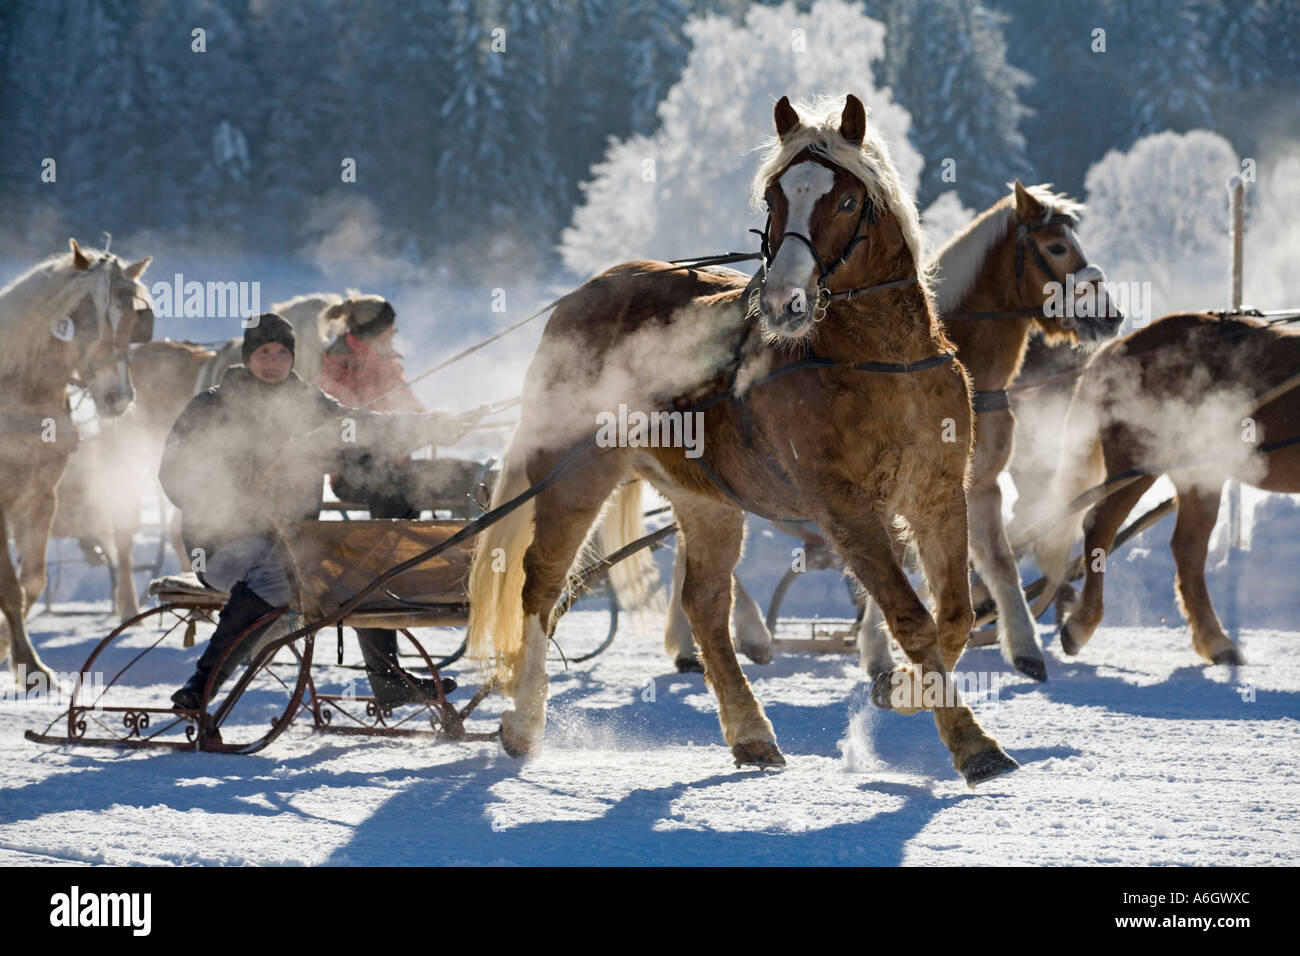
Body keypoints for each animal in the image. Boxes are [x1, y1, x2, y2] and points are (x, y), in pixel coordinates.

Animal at [0, 239, 152, 683]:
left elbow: (32, 581)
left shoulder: (41, 497)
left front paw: (12, 653)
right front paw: (26, 661)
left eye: (132, 318)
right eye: (81, 316)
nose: (117, 396)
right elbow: (9, 586)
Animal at [467, 94, 1018, 784]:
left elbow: (956, 618)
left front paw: (901, 690)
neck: (877, 362)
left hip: (706, 499)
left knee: (704, 605)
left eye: (845, 201)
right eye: (774, 198)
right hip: (576, 468)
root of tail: (584, 293)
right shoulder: (845, 509)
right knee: (541, 583)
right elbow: (913, 621)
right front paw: (970, 742)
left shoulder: (937, 496)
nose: (784, 301)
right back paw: (523, 721)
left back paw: (751, 732)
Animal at [1028, 312, 1300, 666]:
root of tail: (1122, 345)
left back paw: (1214, 640)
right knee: (1100, 525)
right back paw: (1081, 624)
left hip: (1198, 474)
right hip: (1139, 463)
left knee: (1188, 548)